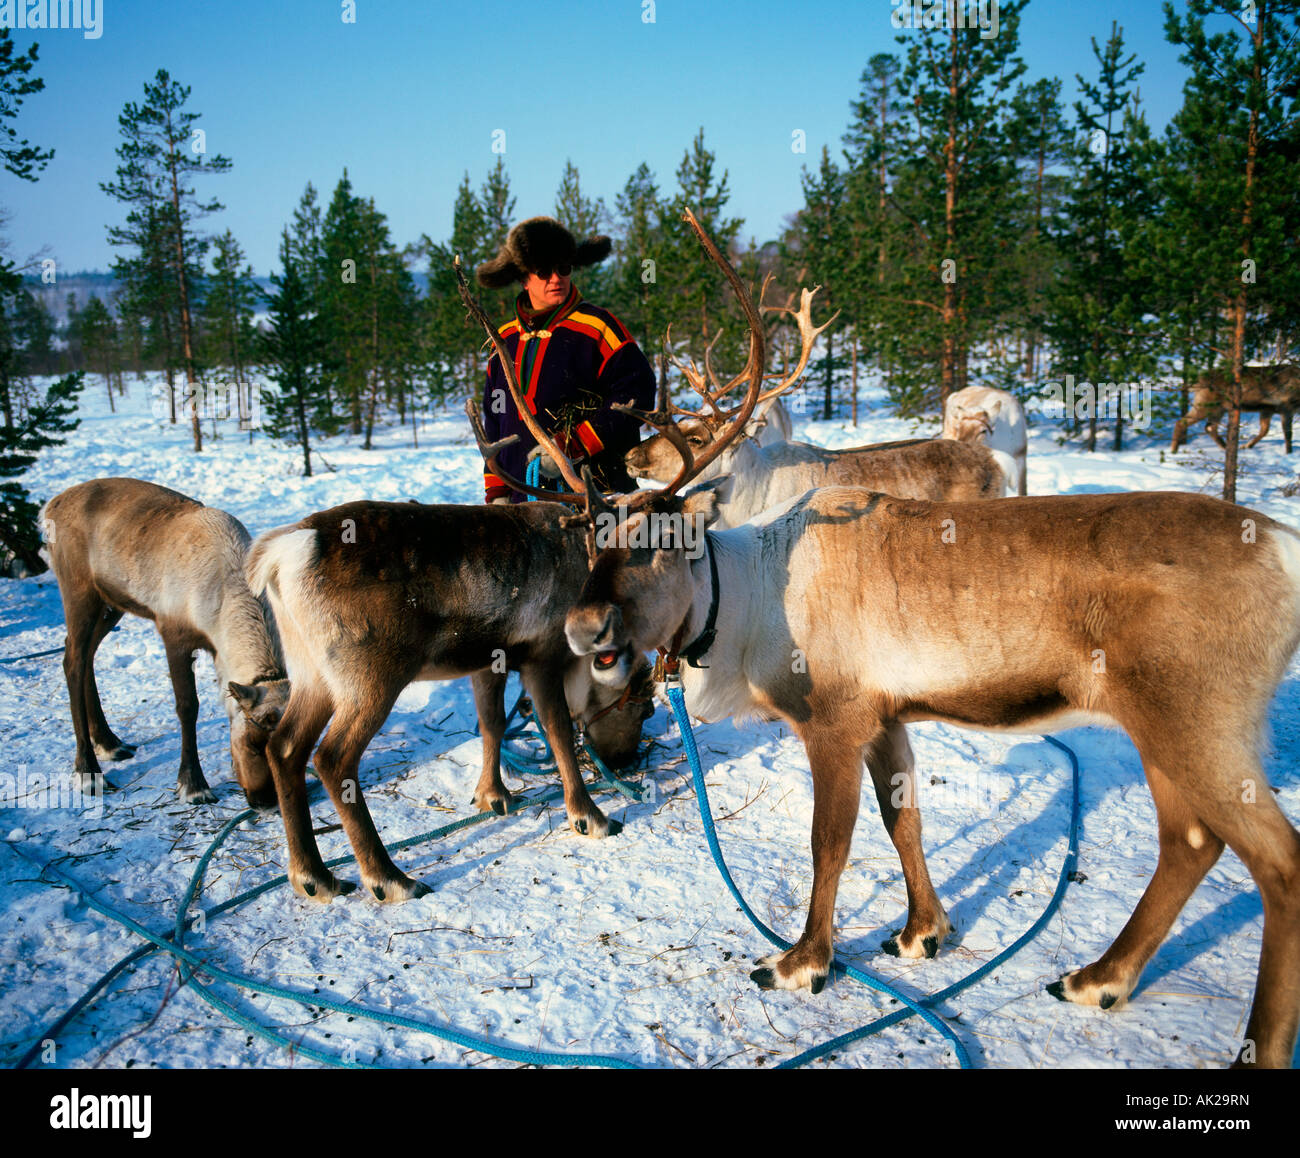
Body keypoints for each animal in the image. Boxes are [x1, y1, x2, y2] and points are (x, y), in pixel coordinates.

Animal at [40, 478, 290, 806]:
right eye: (252, 741)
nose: (266, 800)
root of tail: (50, 505)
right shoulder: (174, 634)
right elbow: (187, 707)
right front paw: (193, 785)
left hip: (111, 604)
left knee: (86, 655)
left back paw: (110, 743)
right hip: (79, 591)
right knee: (72, 660)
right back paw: (88, 773)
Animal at [1170, 364, 1300, 454]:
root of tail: (1198, 380)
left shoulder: (1267, 409)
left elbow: (1264, 430)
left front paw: (1247, 446)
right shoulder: (1286, 408)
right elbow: (1288, 434)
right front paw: (1289, 453)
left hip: (1219, 409)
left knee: (1209, 427)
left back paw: (1225, 447)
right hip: (1205, 404)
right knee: (1181, 422)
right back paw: (1173, 450)